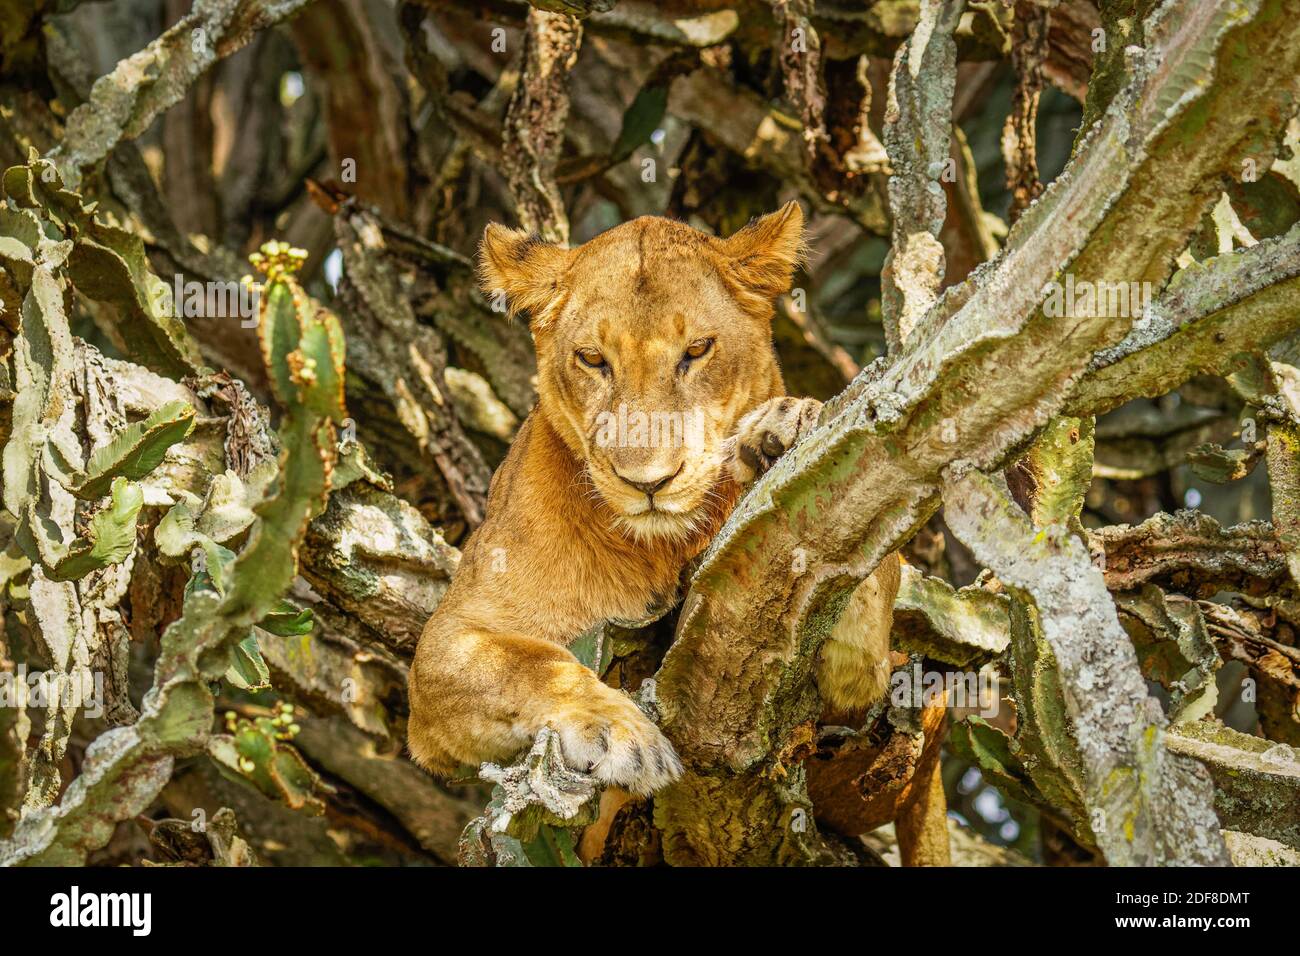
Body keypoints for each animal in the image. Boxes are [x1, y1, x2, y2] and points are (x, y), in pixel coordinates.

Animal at [407, 202, 901, 798]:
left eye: (697, 351)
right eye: (592, 359)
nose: (648, 483)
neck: (660, 547)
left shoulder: (861, 691)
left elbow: (878, 566)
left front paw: (786, 432)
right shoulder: (445, 644)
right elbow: (531, 664)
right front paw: (617, 732)